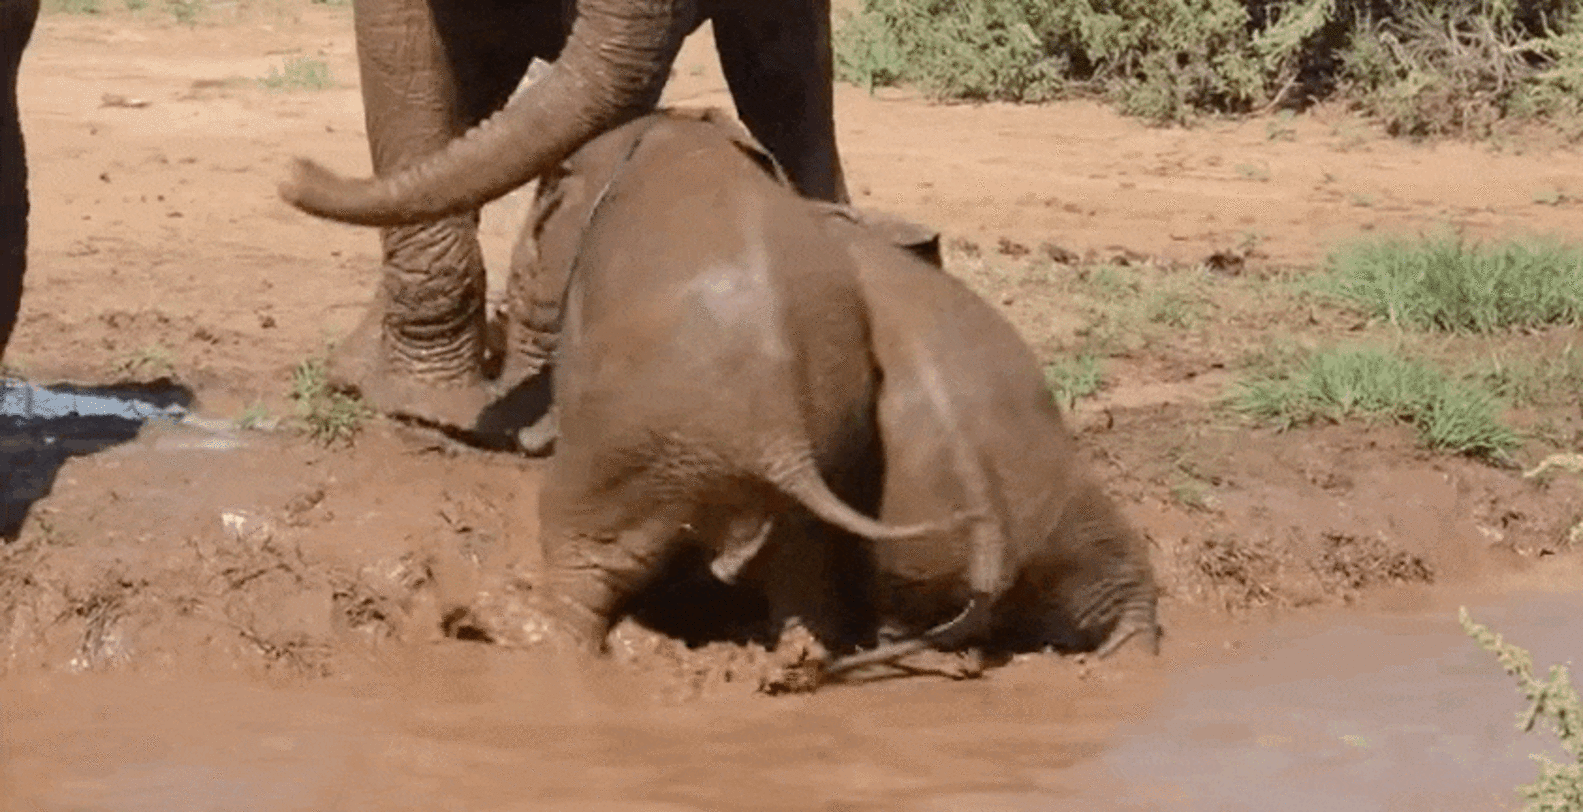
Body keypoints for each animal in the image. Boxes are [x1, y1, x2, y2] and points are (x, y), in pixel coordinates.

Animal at [277, 0, 902, 440]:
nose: (295, 171)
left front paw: (526, 411)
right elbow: (406, 64)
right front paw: (423, 406)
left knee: (786, 72)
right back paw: (356, 373)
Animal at [486, 109, 961, 656]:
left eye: (540, 220)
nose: (512, 435)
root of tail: (786, 445)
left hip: (632, 450)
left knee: (583, 556)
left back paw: (543, 640)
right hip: (823, 463)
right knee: (802, 578)